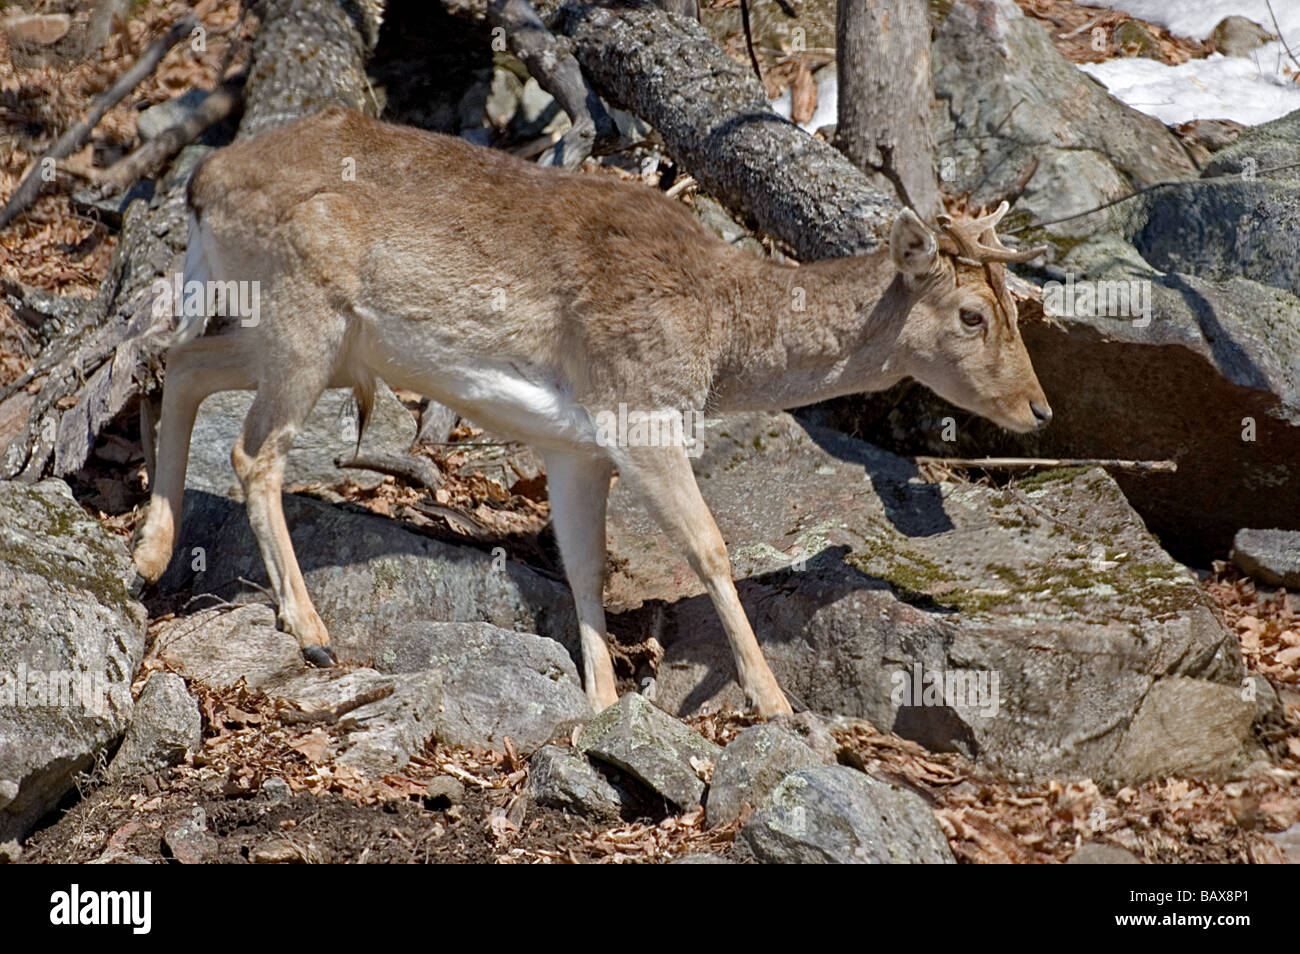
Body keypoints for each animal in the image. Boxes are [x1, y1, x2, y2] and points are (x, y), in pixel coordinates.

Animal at [131, 105, 1050, 718]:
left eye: (1017, 305)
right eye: (972, 314)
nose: (1039, 409)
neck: (720, 335)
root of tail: (201, 185)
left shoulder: (576, 449)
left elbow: (583, 564)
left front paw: (603, 703)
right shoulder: (642, 413)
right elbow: (709, 547)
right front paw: (775, 703)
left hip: (289, 333)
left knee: (182, 365)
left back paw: (149, 556)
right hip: (304, 316)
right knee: (254, 450)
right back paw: (310, 627)